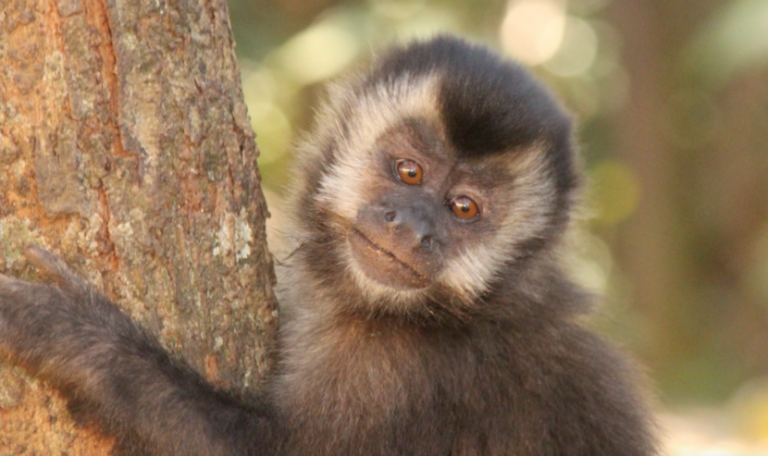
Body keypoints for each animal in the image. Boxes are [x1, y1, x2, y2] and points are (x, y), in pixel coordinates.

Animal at [0, 35, 657, 455]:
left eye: (464, 209)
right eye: (409, 171)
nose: (413, 226)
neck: (453, 314)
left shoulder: (404, 372)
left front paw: (71, 333)